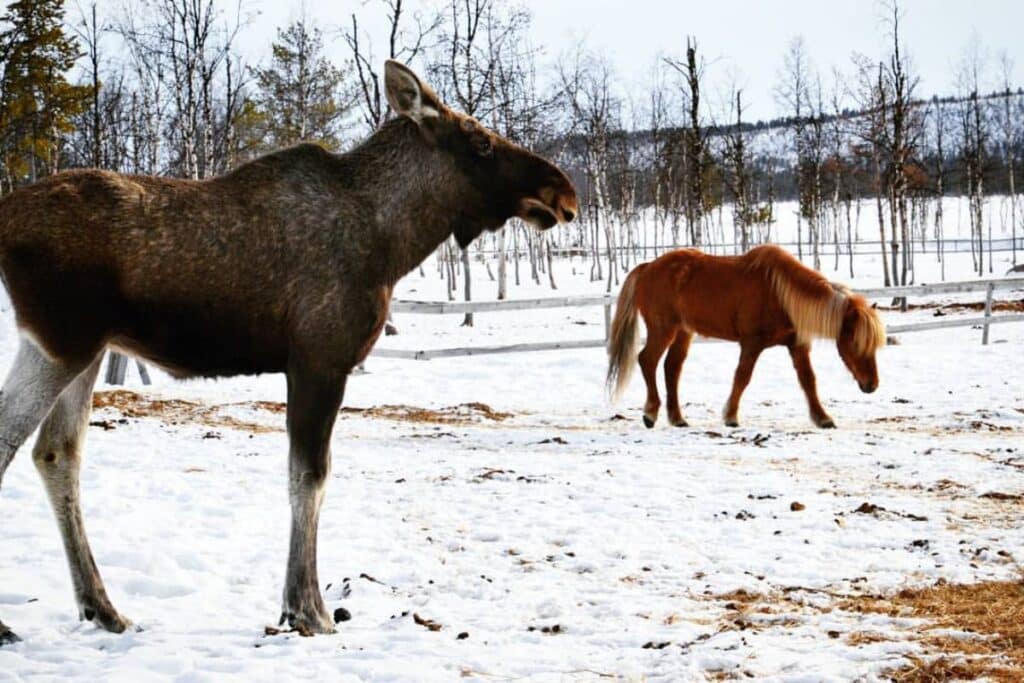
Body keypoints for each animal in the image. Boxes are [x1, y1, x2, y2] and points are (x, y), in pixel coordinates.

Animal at [0, 60, 577, 644]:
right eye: (481, 141)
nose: (564, 193)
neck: (393, 242)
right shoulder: (320, 359)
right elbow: (309, 478)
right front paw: (308, 609)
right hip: (59, 341)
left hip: (87, 349)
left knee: (56, 454)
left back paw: (102, 607)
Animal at [606, 245, 885, 429]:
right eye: (856, 343)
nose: (871, 385)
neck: (779, 292)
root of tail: (647, 267)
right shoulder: (751, 344)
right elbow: (742, 377)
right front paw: (730, 416)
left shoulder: (797, 345)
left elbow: (808, 381)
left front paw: (823, 418)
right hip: (663, 329)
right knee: (647, 361)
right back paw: (650, 414)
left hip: (684, 332)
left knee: (671, 368)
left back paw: (677, 418)